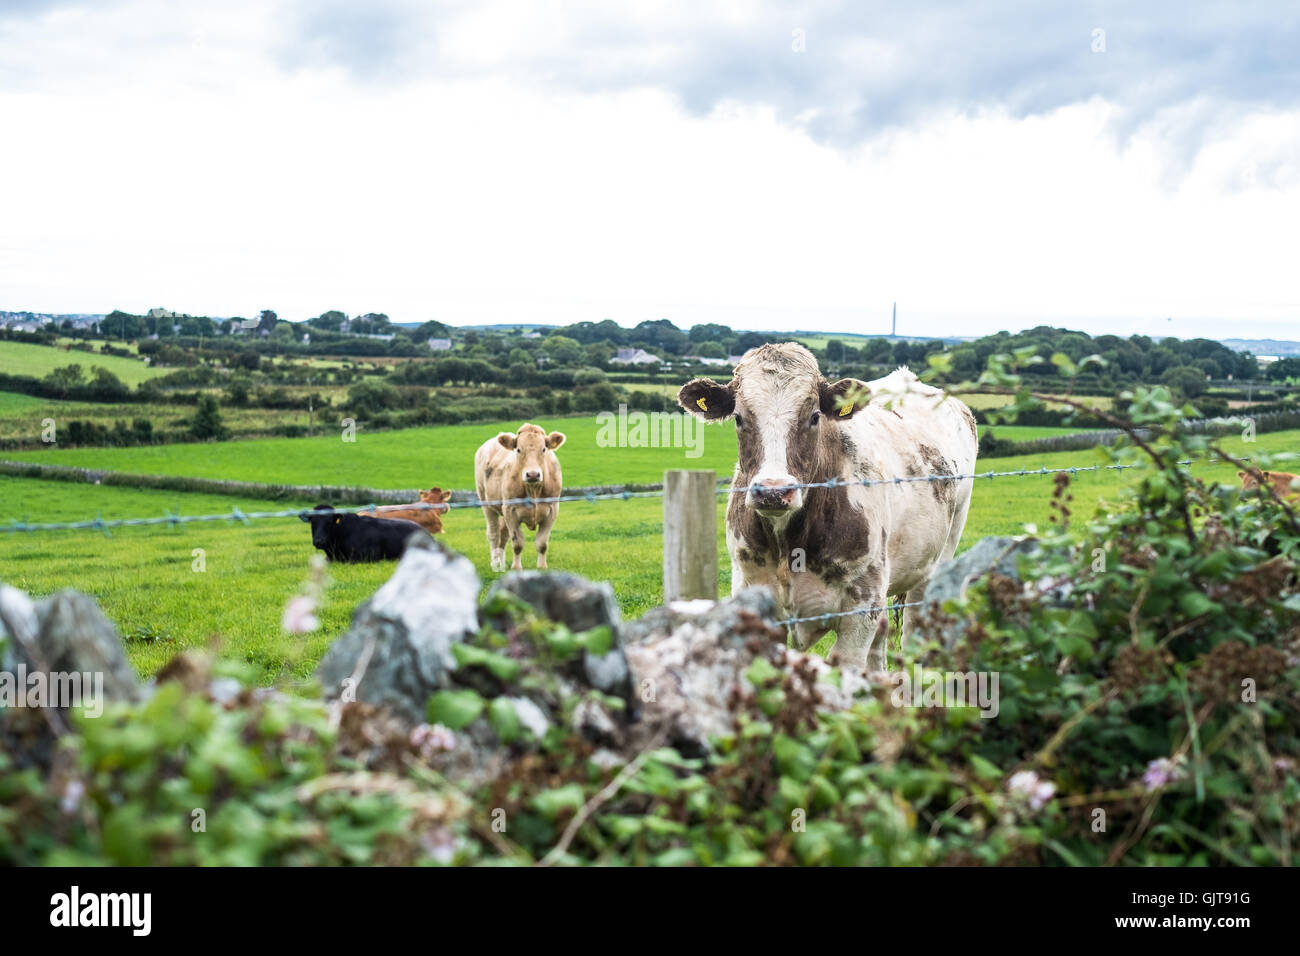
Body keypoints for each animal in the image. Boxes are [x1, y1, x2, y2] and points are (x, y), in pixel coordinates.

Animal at [474, 423, 566, 571]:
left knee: (503, 534)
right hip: (486, 503)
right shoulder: (510, 510)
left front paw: (542, 567)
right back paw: (495, 564)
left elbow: (542, 543)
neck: (533, 490)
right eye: (518, 450)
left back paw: (501, 563)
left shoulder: (552, 509)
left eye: (544, 449)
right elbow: (517, 544)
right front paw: (516, 567)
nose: (533, 474)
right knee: (494, 534)